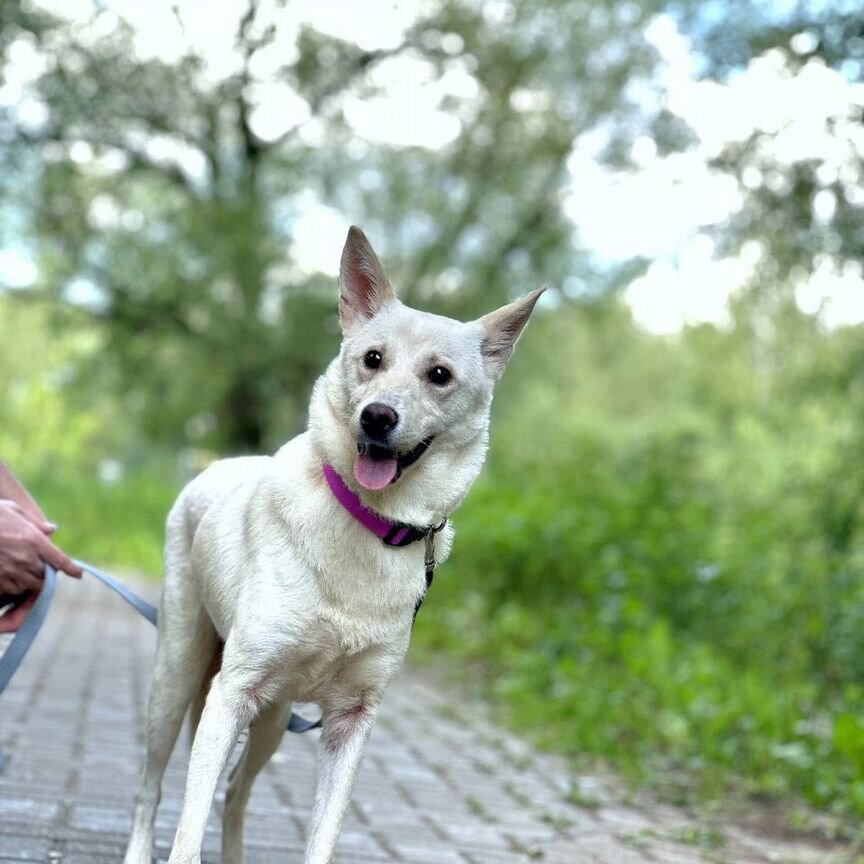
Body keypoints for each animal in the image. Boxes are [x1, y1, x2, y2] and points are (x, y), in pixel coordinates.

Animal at [125, 226, 544, 860]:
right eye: (372, 359)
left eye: (439, 375)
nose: (377, 417)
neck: (371, 519)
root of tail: (214, 465)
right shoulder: (234, 691)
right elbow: (186, 834)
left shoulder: (351, 720)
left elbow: (321, 836)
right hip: (178, 675)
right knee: (152, 789)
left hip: (273, 718)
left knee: (235, 793)